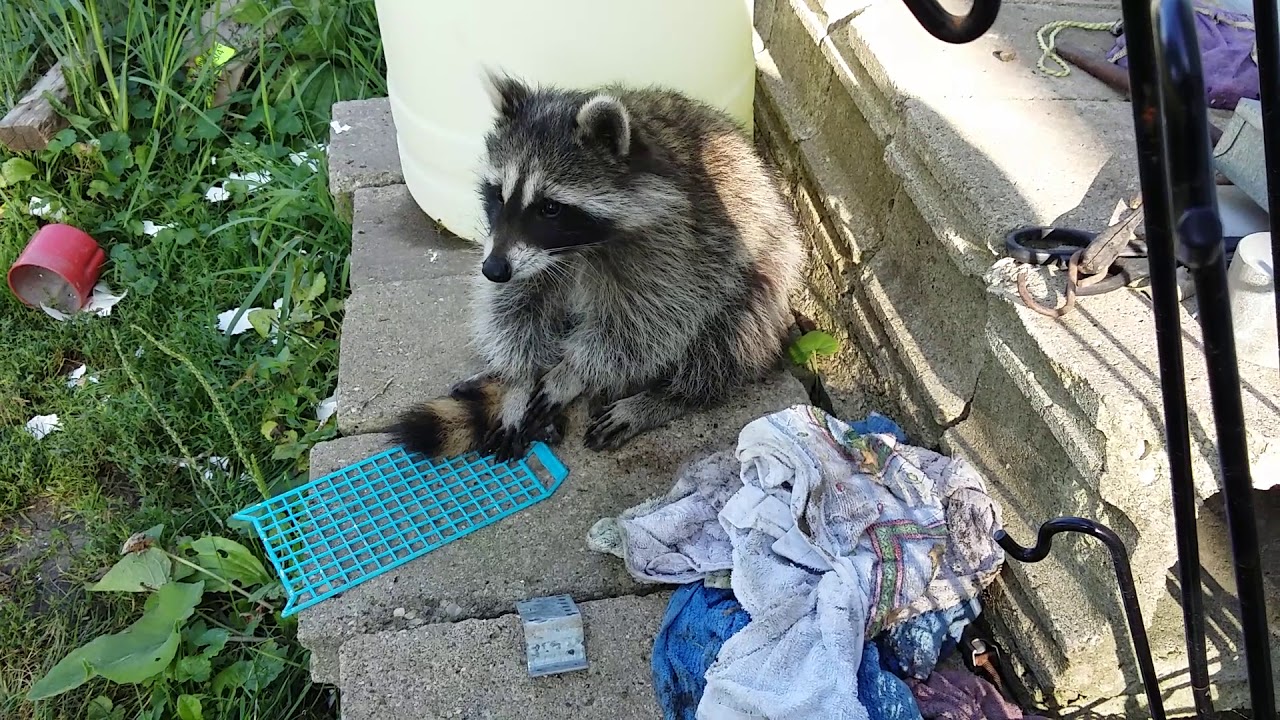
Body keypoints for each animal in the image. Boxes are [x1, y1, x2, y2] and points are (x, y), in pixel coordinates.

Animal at [393, 71, 805, 461]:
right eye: (498, 194)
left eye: (550, 207)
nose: (493, 271)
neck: (573, 250)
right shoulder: (521, 256)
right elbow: (515, 308)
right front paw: (520, 378)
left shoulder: (679, 248)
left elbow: (645, 326)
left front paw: (573, 373)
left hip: (758, 278)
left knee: (727, 335)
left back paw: (666, 398)